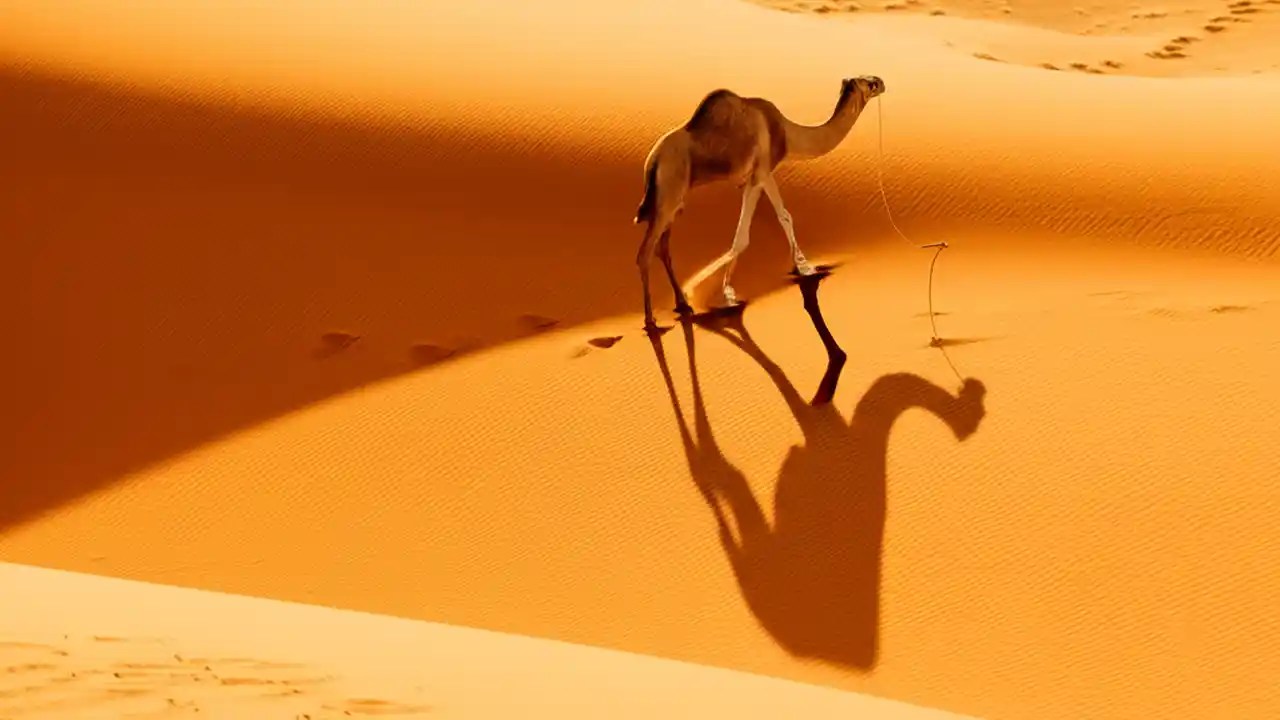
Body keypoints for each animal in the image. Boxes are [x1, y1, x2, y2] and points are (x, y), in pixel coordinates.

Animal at [632, 75, 885, 334]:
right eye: (869, 83)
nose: (881, 82)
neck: (787, 133)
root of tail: (652, 163)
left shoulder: (757, 176)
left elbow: (762, 226)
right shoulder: (761, 171)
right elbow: (764, 226)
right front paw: (803, 268)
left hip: (671, 200)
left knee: (663, 248)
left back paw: (683, 303)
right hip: (667, 195)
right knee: (645, 253)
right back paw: (651, 321)